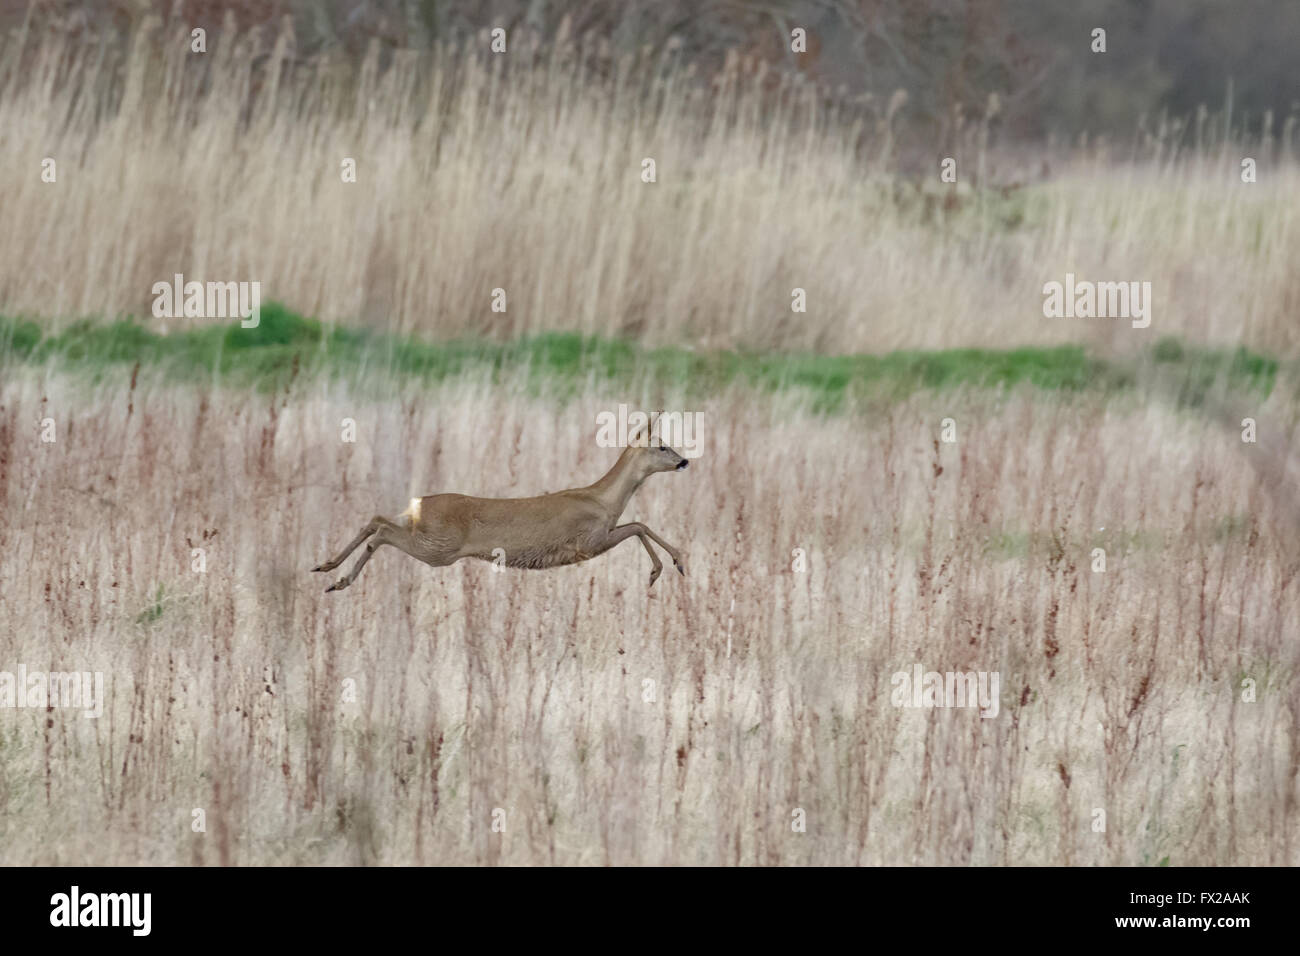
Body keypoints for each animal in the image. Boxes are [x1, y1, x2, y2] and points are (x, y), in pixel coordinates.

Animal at [312, 416, 690, 592]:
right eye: (661, 445)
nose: (684, 461)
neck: (604, 501)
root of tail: (420, 502)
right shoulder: (587, 542)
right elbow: (638, 525)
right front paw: (668, 566)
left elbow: (639, 525)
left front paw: (670, 566)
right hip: (438, 548)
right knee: (382, 533)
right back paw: (338, 579)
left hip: (425, 533)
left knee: (377, 518)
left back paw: (327, 570)